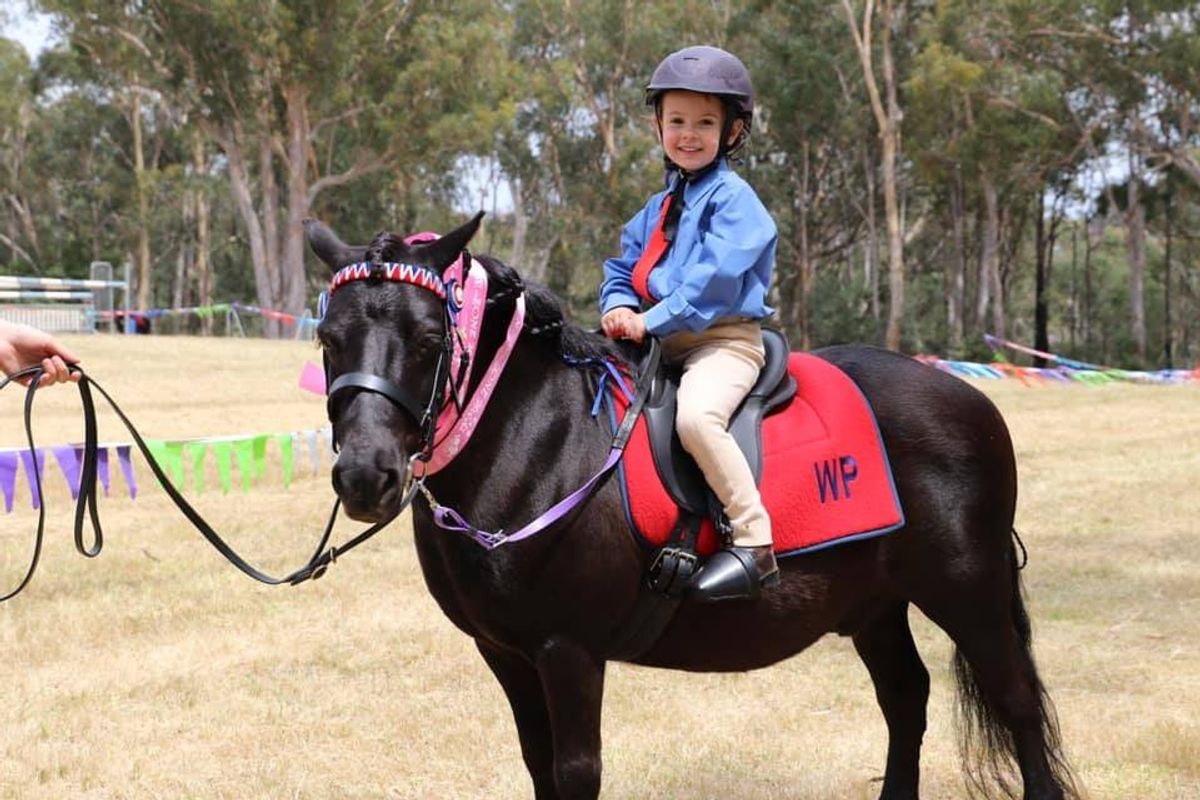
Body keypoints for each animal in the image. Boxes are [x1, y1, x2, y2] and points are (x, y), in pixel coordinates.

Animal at [304, 212, 1078, 800]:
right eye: (327, 338)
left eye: (431, 340)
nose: (366, 475)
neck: (536, 434)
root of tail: (970, 398)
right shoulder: (505, 652)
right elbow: (539, 766)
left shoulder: (567, 650)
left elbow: (575, 773)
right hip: (875, 604)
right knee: (906, 700)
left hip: (968, 589)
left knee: (1016, 703)